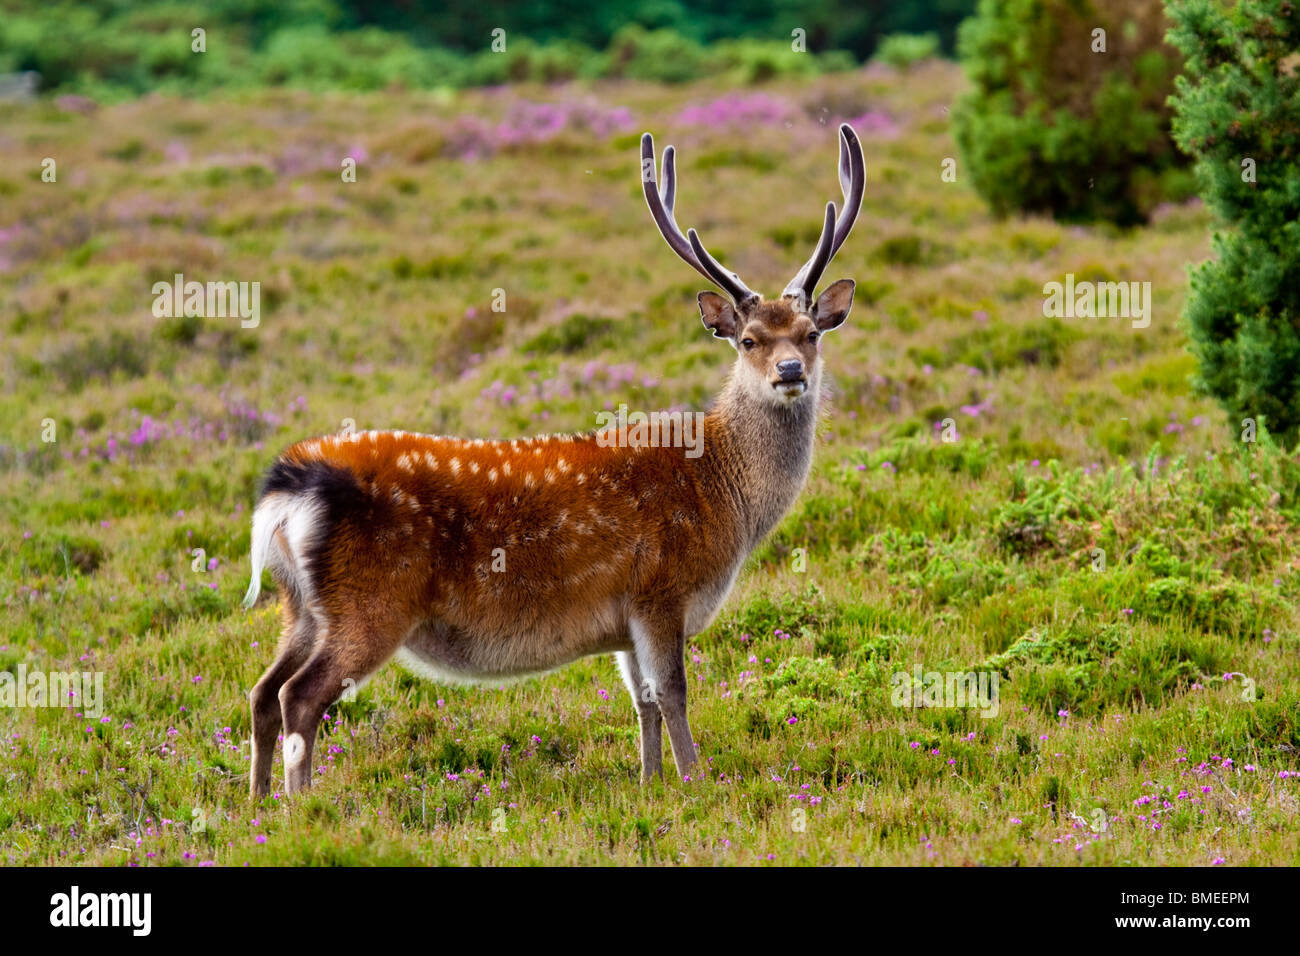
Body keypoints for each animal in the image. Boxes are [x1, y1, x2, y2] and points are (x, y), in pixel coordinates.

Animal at [241, 123, 865, 797]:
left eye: (811, 333)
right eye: (748, 340)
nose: (791, 371)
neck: (727, 502)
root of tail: (286, 489)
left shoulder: (624, 618)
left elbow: (643, 700)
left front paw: (649, 786)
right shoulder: (661, 589)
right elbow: (674, 694)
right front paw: (696, 784)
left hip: (301, 605)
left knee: (262, 691)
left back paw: (257, 804)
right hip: (370, 603)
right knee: (300, 696)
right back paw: (304, 806)